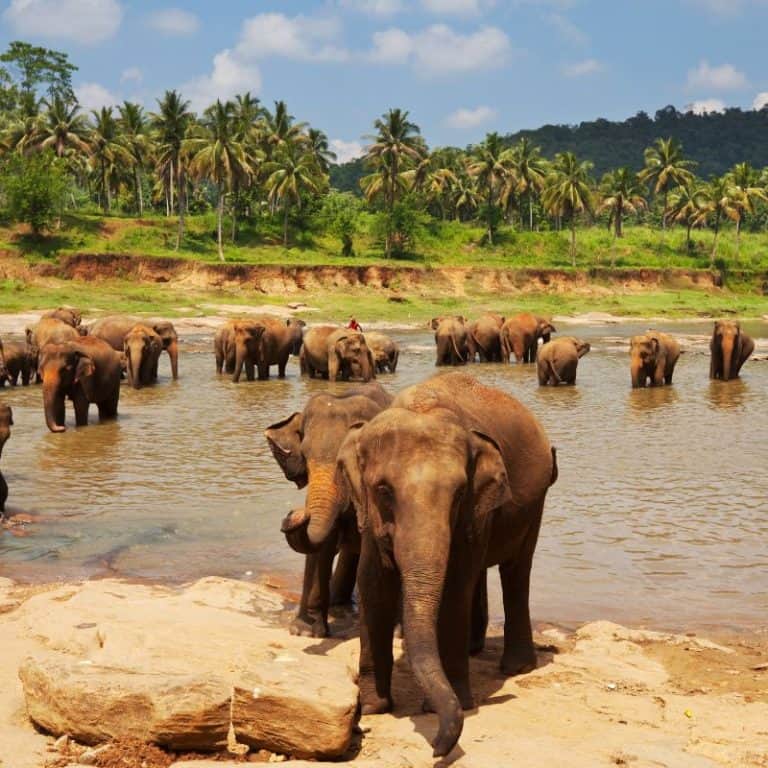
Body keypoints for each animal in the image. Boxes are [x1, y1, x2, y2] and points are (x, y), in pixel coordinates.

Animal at [266, 382, 393, 637]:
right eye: (305, 456)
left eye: (345, 462)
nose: (295, 513)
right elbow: (320, 548)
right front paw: (305, 631)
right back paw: (338, 606)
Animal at [326, 373, 557, 757]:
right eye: (384, 490)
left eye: (460, 493)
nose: (436, 747)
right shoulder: (370, 515)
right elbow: (373, 584)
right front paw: (374, 706)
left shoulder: (474, 509)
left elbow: (454, 587)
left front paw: (453, 704)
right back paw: (475, 649)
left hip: (535, 501)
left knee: (516, 570)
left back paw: (516, 667)